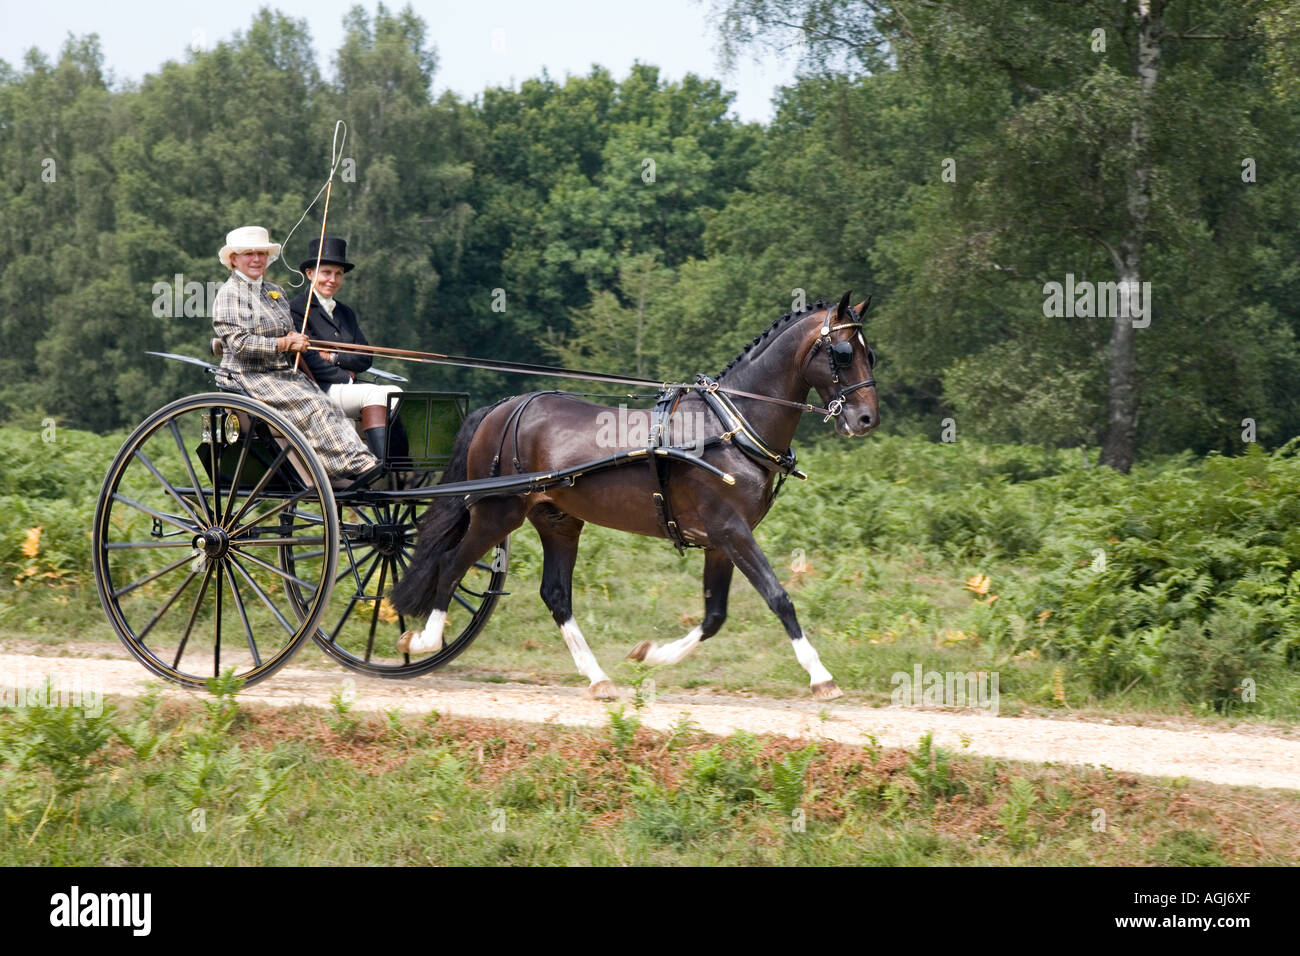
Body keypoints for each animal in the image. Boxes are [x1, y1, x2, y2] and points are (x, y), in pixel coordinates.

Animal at [388, 291, 879, 700]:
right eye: (842, 353)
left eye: (869, 353)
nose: (866, 419)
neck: (730, 427)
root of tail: (502, 407)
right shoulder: (732, 531)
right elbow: (779, 597)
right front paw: (821, 677)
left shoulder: (720, 542)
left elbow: (714, 616)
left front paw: (650, 654)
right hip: (496, 512)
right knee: (450, 564)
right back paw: (423, 639)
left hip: (558, 520)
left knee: (555, 594)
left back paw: (598, 677)